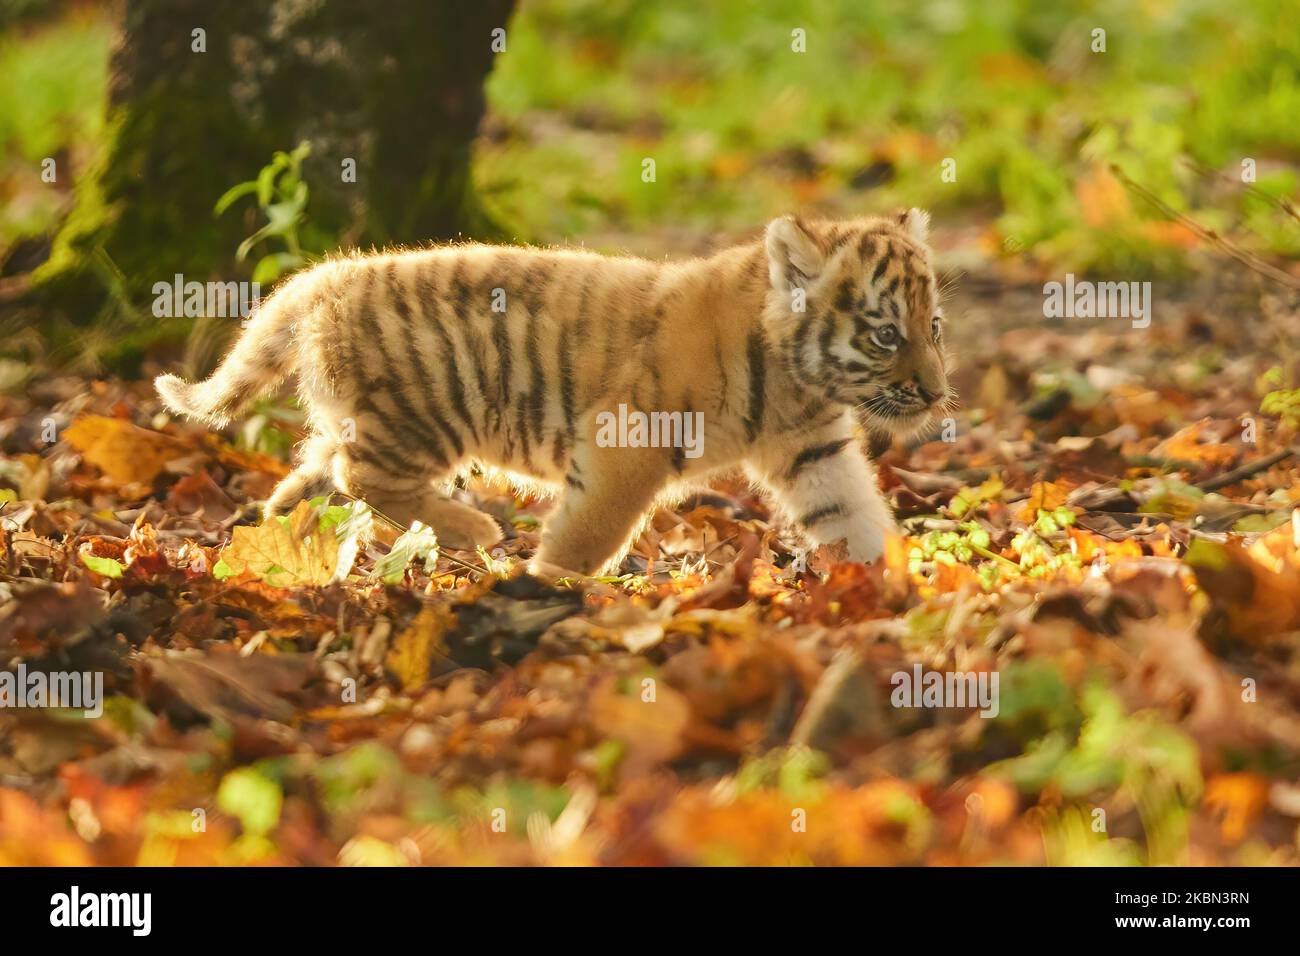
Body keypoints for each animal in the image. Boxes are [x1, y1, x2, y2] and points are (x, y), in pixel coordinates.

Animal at [155, 209, 954, 575]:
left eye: (934, 326)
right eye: (886, 334)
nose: (937, 395)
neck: (797, 379)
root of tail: (319, 278)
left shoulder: (814, 449)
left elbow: (854, 514)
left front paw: (897, 589)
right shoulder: (628, 443)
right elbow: (590, 530)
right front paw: (549, 581)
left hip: (364, 419)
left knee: (311, 471)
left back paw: (283, 533)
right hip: (423, 412)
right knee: (361, 475)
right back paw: (473, 530)